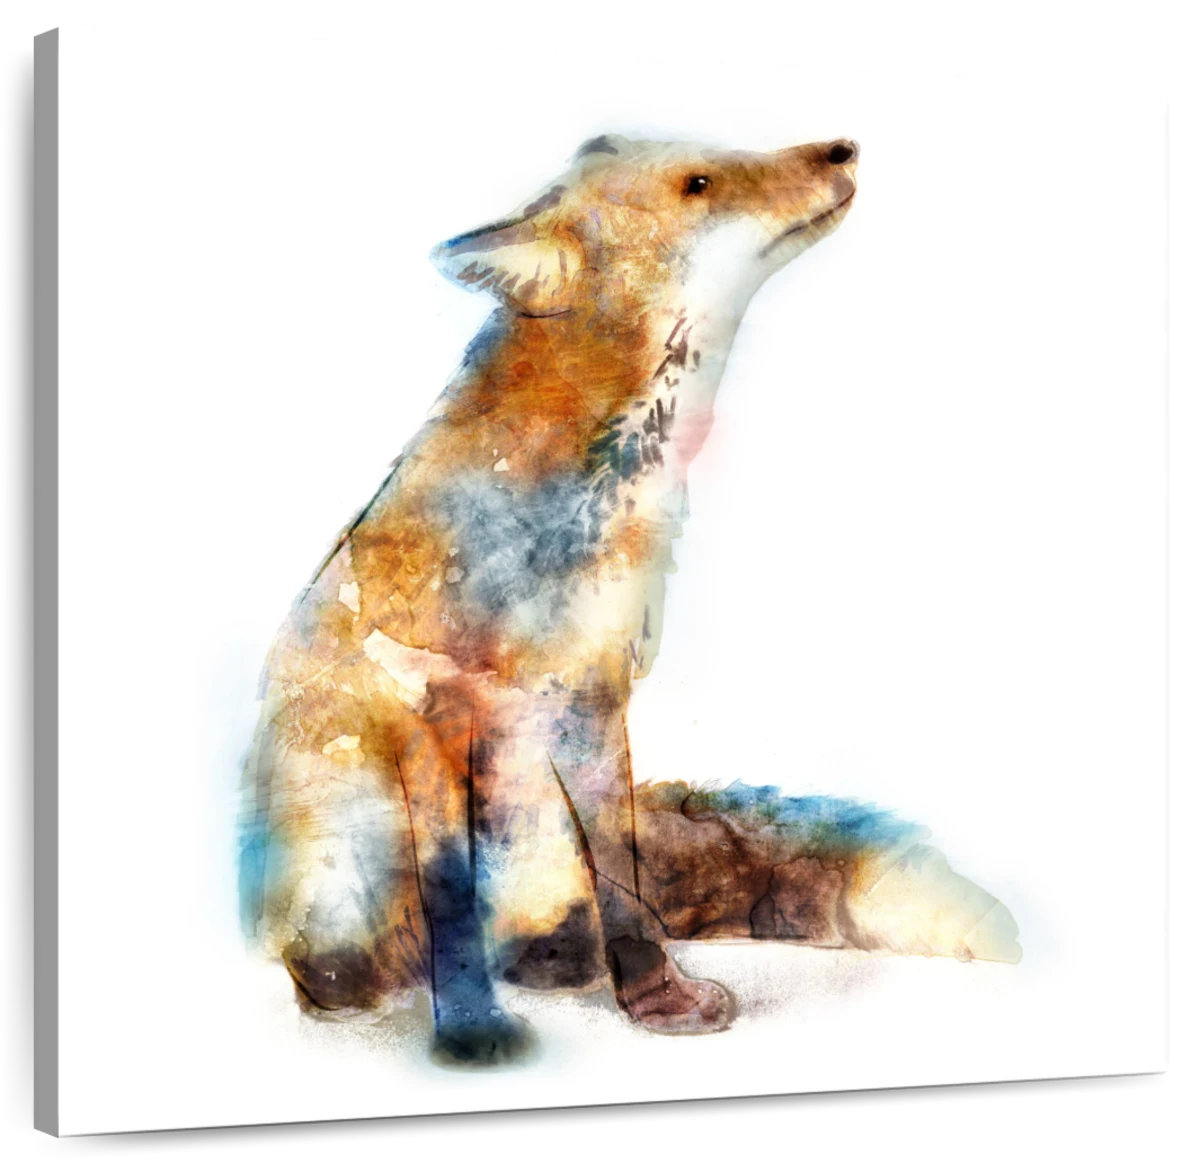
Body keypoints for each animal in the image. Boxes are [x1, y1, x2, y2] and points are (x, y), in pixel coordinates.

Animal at [239, 133, 1020, 1065]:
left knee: (544, 920)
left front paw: (656, 1000)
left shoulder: (594, 693)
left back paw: (558, 961)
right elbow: (452, 897)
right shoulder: (429, 716)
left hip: (531, 829)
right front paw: (471, 1034)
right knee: (363, 957)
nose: (842, 147)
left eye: (719, 156)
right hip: (341, 866)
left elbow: (624, 880)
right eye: (701, 183)